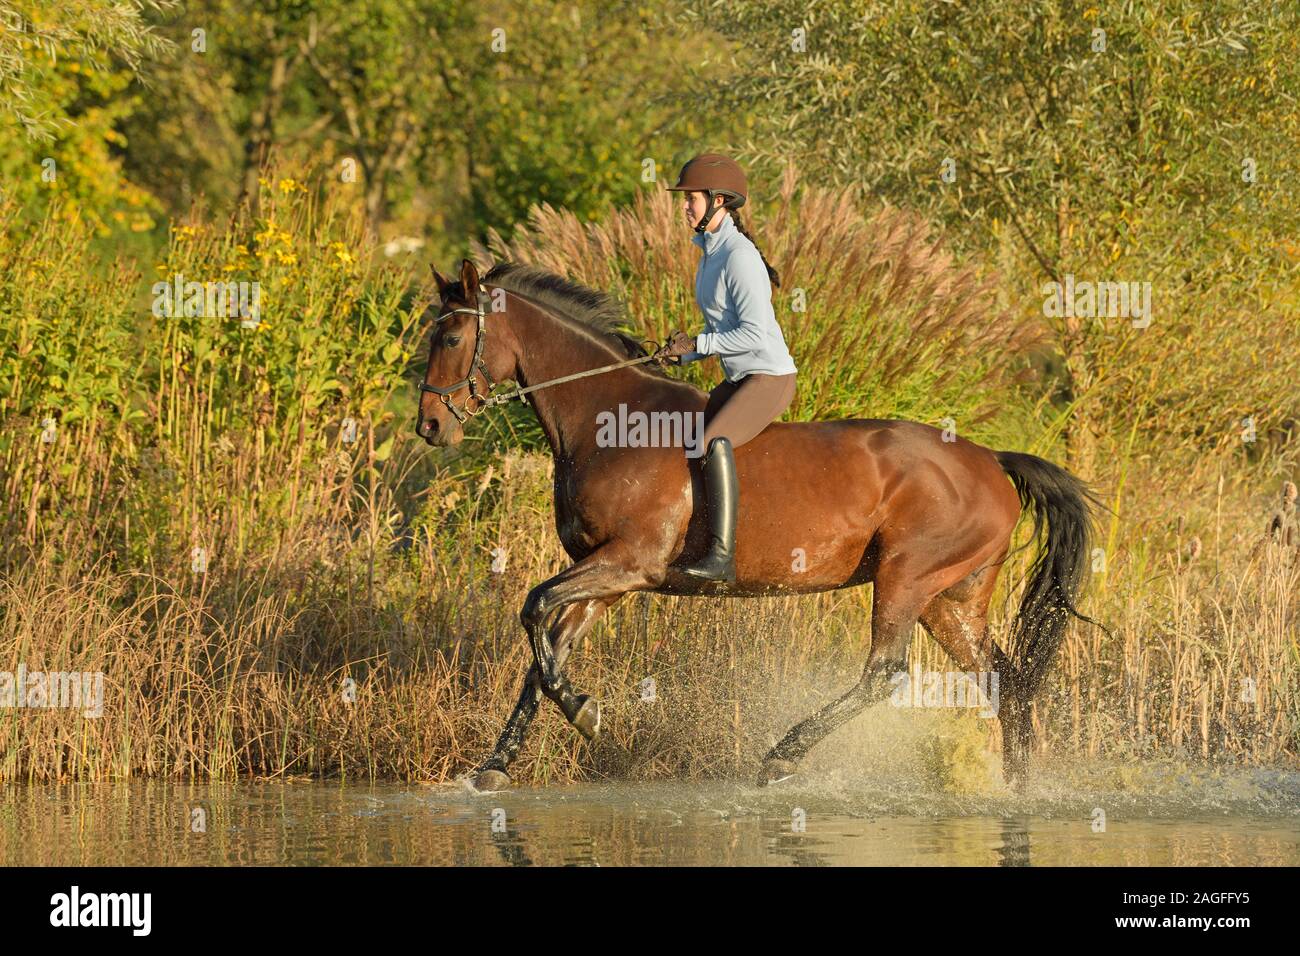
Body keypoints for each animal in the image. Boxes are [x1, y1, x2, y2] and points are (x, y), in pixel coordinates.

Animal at [417, 257, 1106, 792]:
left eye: (450, 339)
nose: (429, 426)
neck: (605, 420)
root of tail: (991, 460)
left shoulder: (629, 561)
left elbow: (533, 608)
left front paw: (585, 715)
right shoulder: (606, 577)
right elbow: (544, 654)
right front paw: (496, 766)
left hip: (907, 577)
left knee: (884, 674)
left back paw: (782, 756)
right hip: (951, 599)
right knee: (1004, 680)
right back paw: (1016, 787)